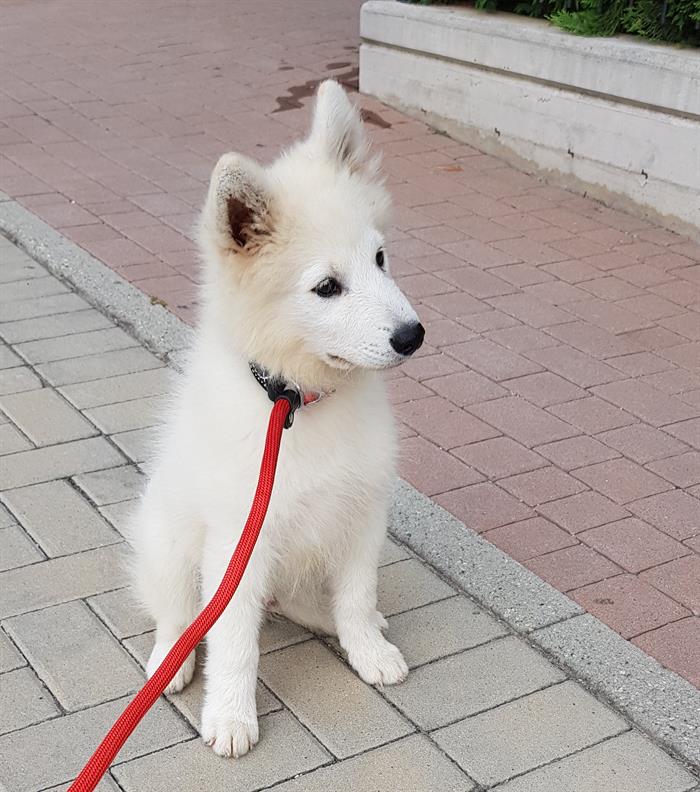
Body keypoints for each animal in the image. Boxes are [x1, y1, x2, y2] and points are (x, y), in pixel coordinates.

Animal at [131, 79, 426, 756]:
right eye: (326, 287)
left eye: (380, 257)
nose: (413, 335)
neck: (296, 405)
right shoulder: (238, 543)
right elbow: (233, 643)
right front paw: (231, 717)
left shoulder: (363, 513)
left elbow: (356, 593)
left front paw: (368, 651)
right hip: (168, 542)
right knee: (178, 617)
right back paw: (171, 664)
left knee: (302, 601)